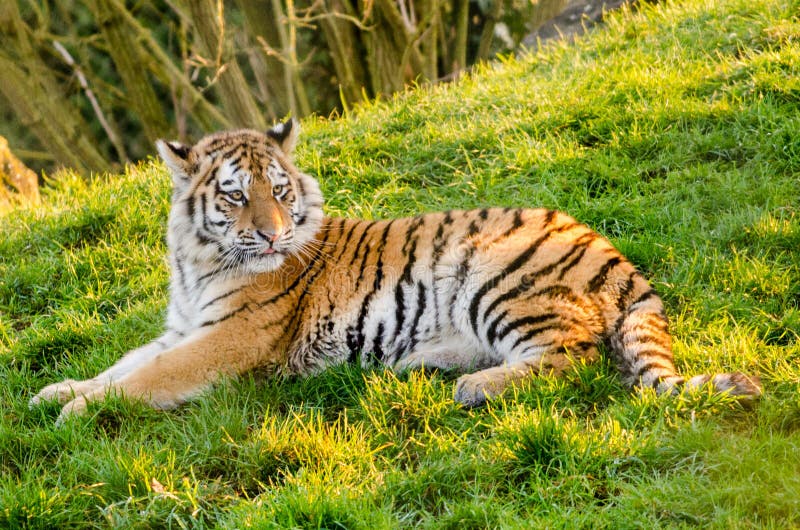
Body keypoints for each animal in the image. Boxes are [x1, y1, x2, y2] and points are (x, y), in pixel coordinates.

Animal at [30, 120, 762, 424]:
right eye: (236, 195)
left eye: (280, 190)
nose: (272, 234)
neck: (198, 259)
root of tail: (613, 252)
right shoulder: (183, 327)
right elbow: (125, 362)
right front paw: (56, 392)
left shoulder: (231, 338)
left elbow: (150, 376)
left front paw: (77, 412)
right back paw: (421, 369)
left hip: (498, 279)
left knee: (573, 358)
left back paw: (475, 389)